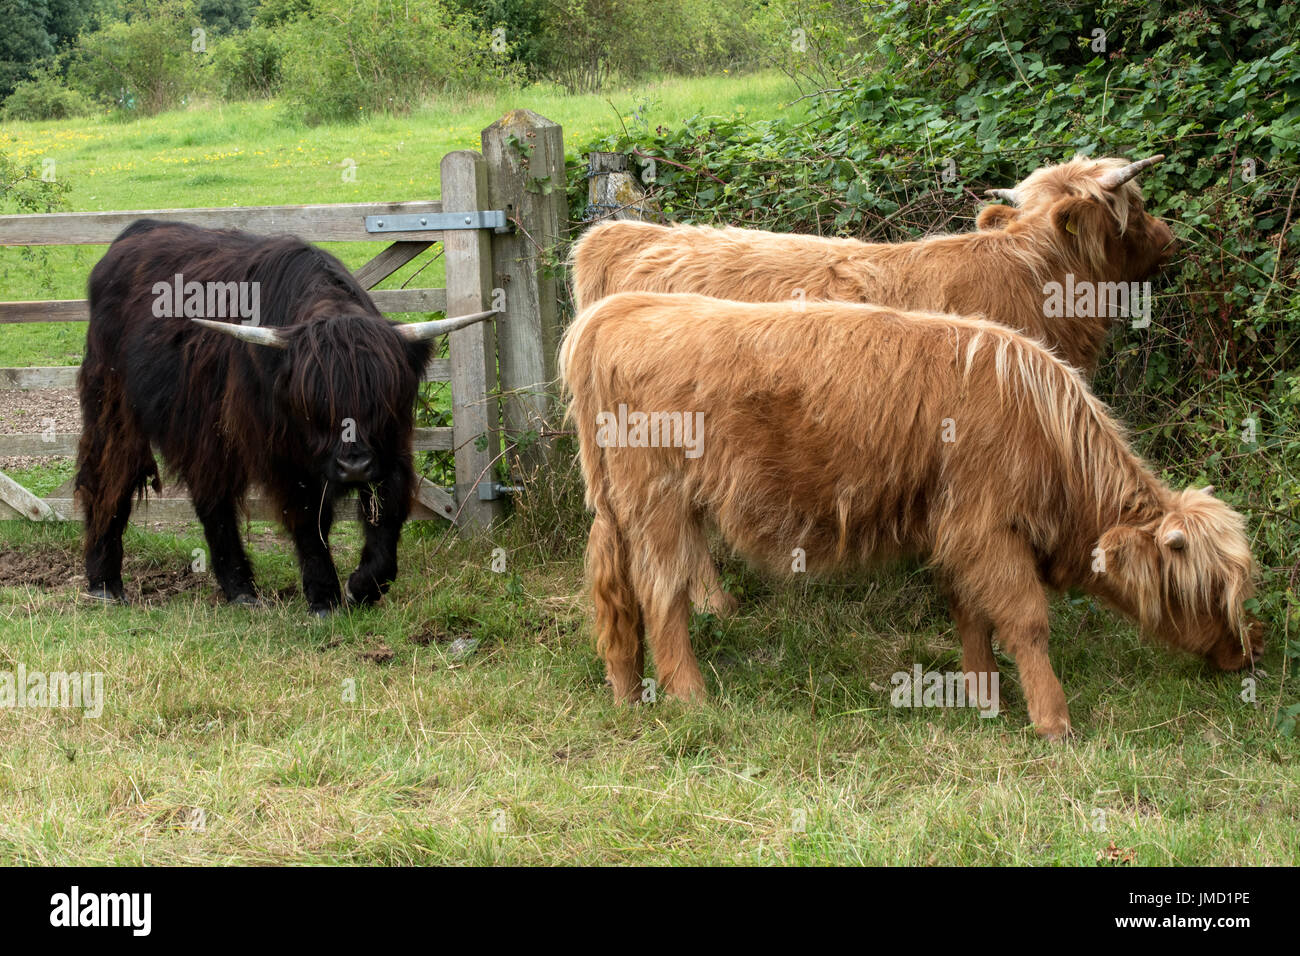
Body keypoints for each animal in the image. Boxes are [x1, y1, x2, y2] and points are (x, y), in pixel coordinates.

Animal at [77, 219, 489, 615]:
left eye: (380, 400)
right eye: (314, 404)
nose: (353, 467)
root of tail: (130, 236)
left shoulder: (391, 448)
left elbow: (386, 516)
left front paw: (361, 587)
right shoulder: (285, 456)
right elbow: (308, 520)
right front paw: (324, 598)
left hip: (206, 432)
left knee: (211, 497)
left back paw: (241, 590)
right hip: (114, 408)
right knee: (109, 478)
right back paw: (104, 583)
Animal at [559, 291, 1262, 738]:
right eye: (1205, 586)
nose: (1247, 653)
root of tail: (618, 310)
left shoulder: (958, 531)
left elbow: (972, 614)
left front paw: (982, 694)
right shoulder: (986, 528)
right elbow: (1026, 621)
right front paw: (1053, 721)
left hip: (626, 508)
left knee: (620, 594)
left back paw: (627, 691)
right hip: (659, 501)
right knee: (663, 593)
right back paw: (691, 699)